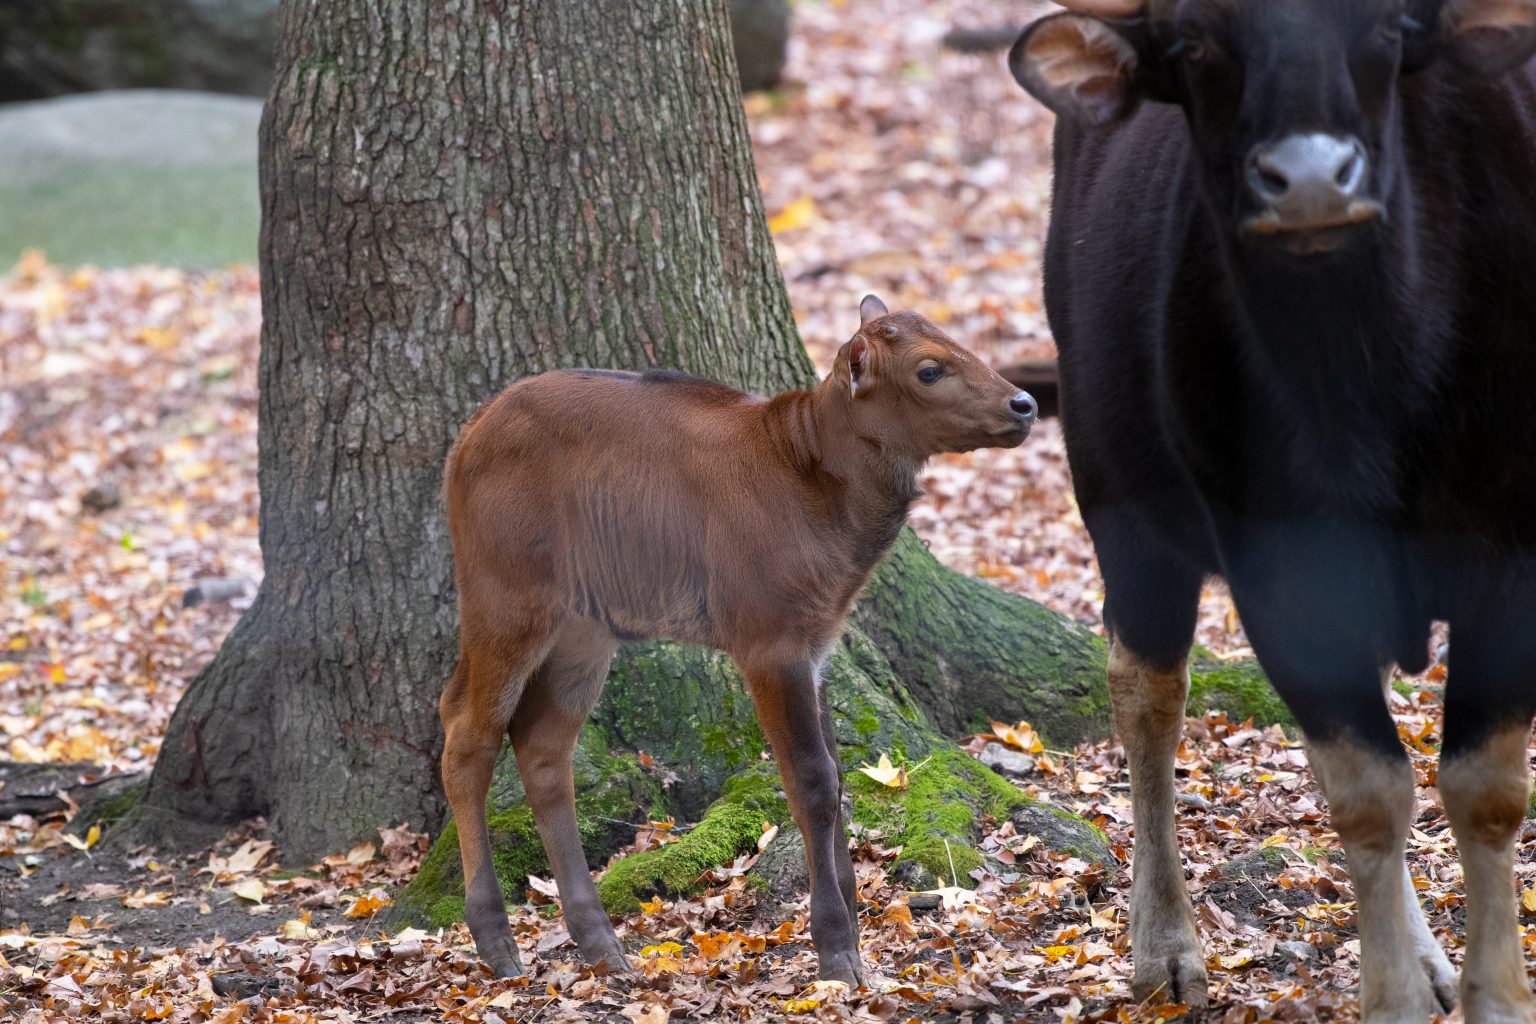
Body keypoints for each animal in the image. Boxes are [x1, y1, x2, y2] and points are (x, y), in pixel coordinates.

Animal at [1007, 1, 1536, 1020]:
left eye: (1392, 26)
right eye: (1193, 41)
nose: (1311, 179)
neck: (1371, 378)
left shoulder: (1516, 557)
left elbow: (1483, 788)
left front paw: (1491, 993)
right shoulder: (1281, 575)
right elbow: (1367, 793)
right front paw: (1393, 998)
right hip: (1118, 499)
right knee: (1147, 694)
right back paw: (1165, 945)